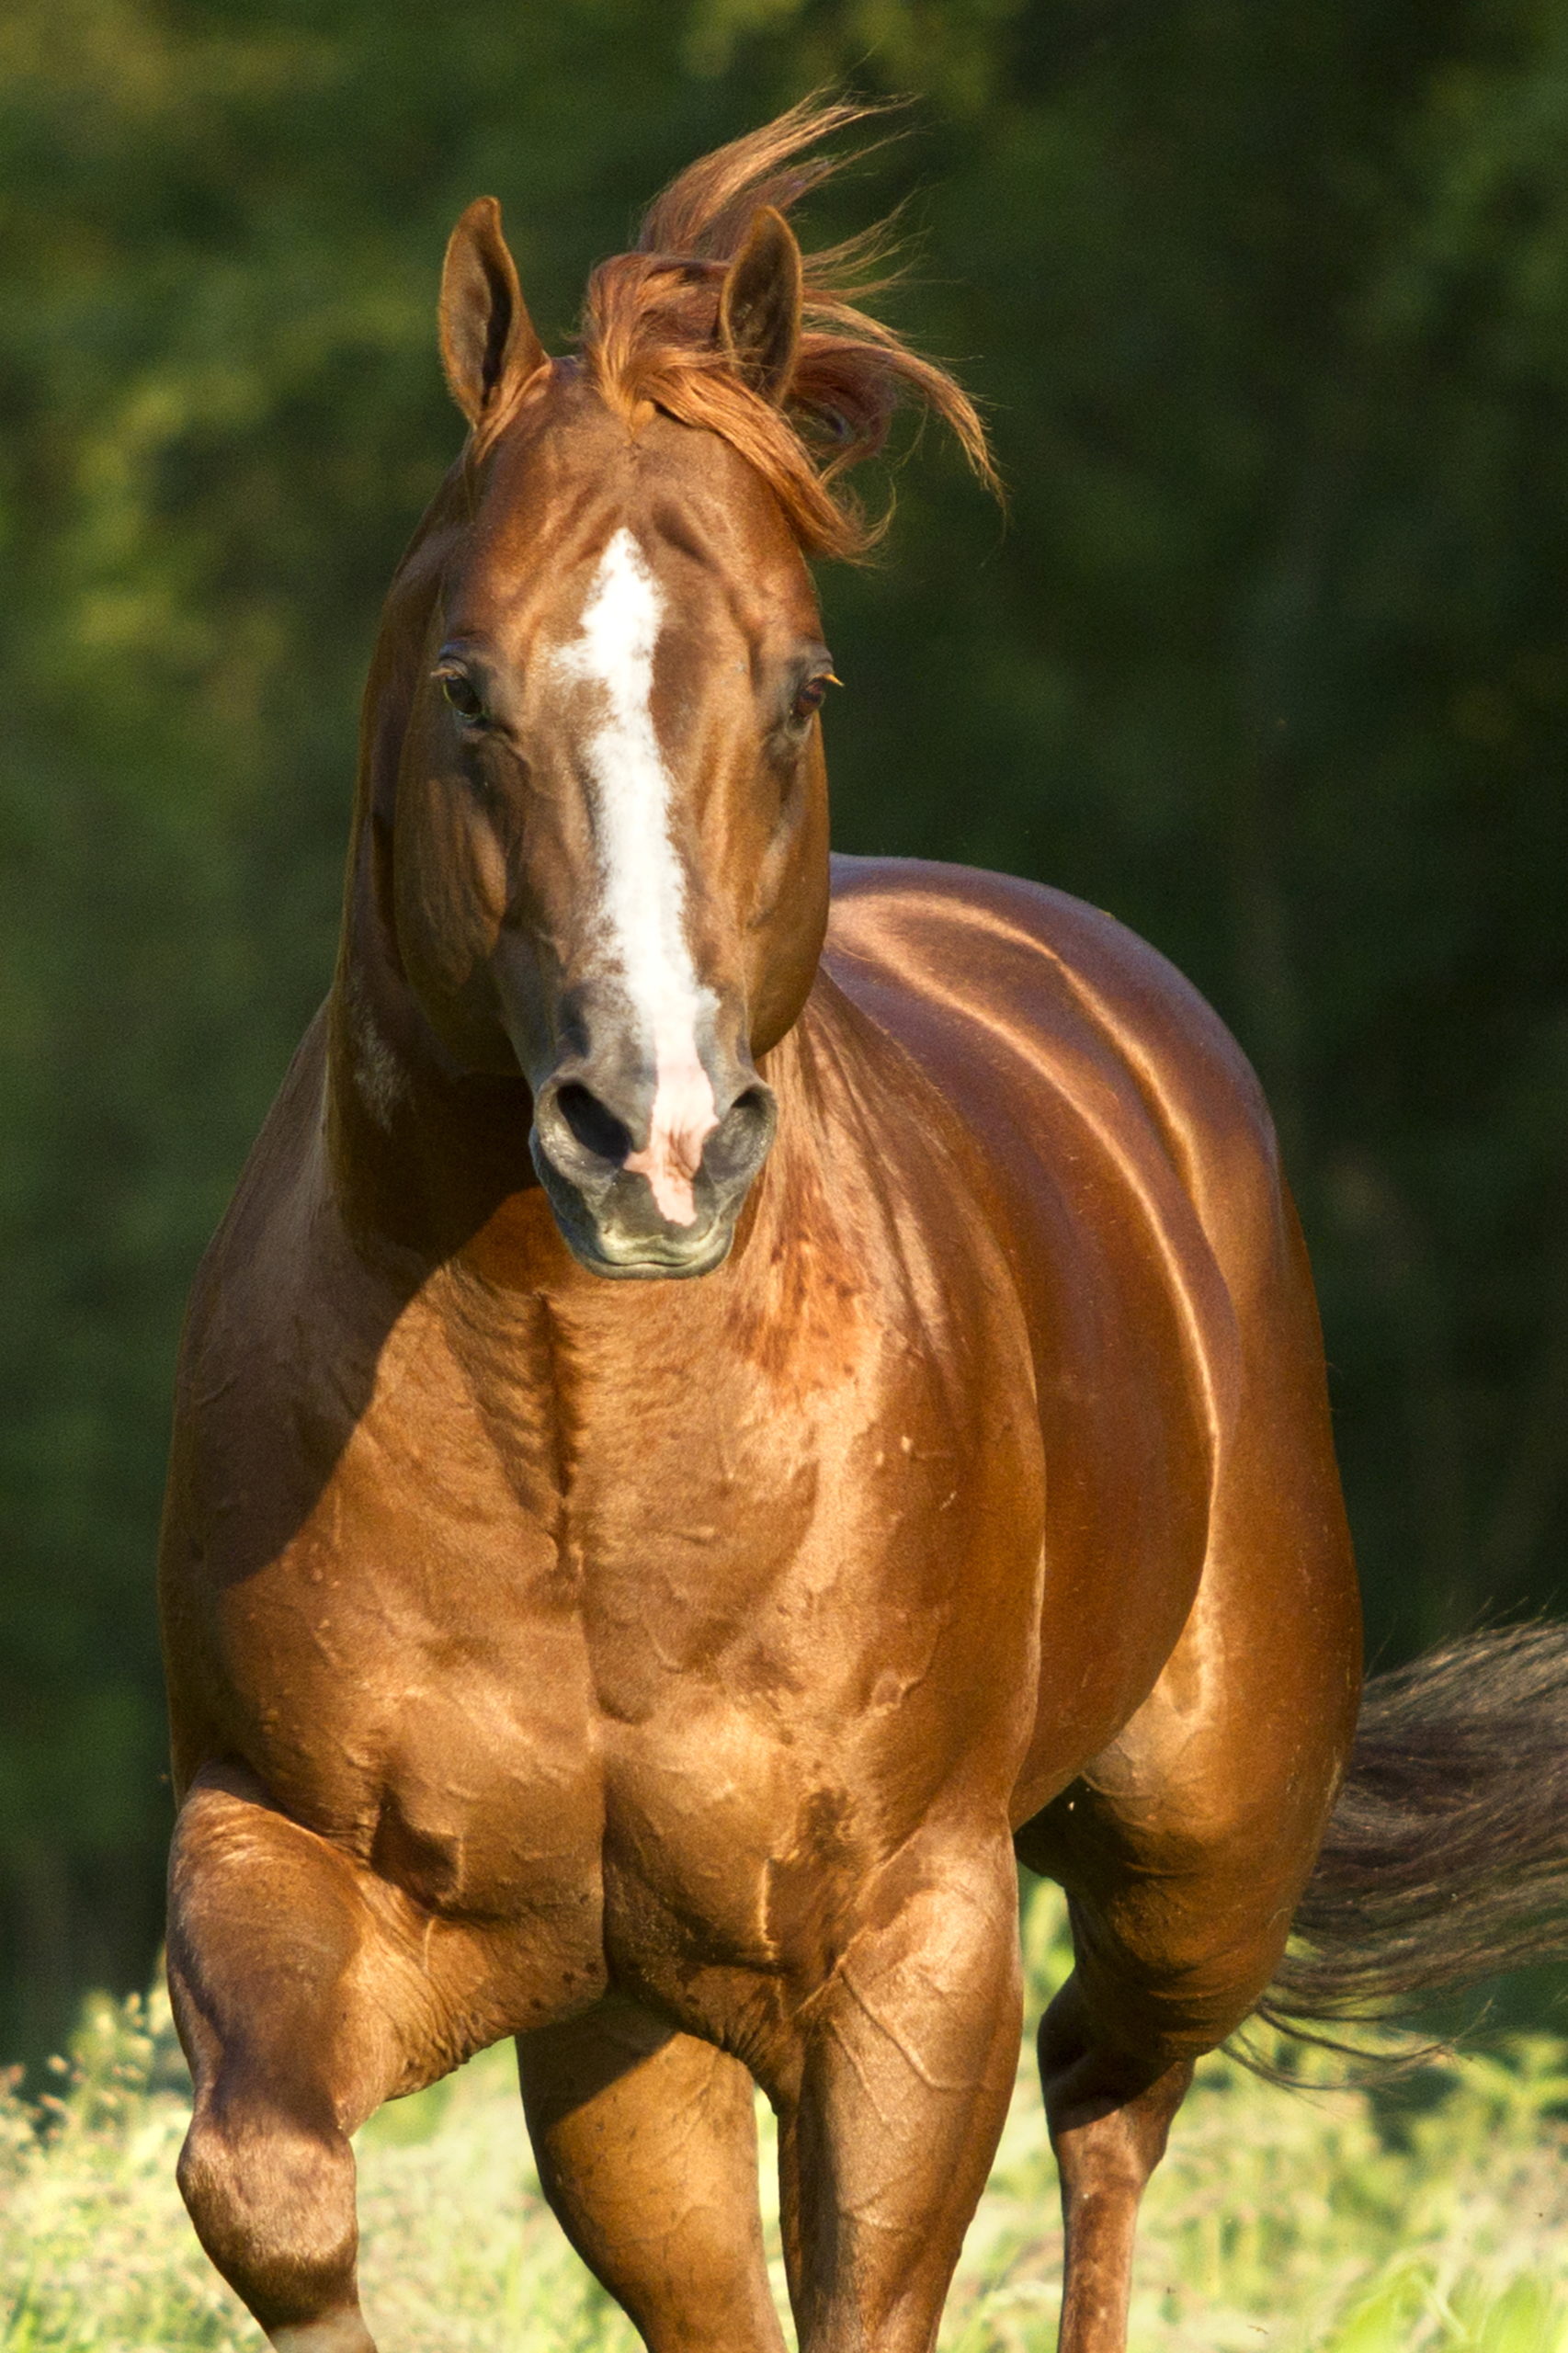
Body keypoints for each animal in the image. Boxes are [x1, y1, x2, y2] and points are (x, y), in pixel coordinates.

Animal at [158, 99, 1568, 2353]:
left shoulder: (912, 1944)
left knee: (1111, 2101)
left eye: (801, 685)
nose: (652, 1141)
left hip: (1201, 1854)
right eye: (465, 688)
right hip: (625, 2038)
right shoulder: (298, 1855)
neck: (582, 1443)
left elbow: (887, 2278)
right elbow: (270, 2185)